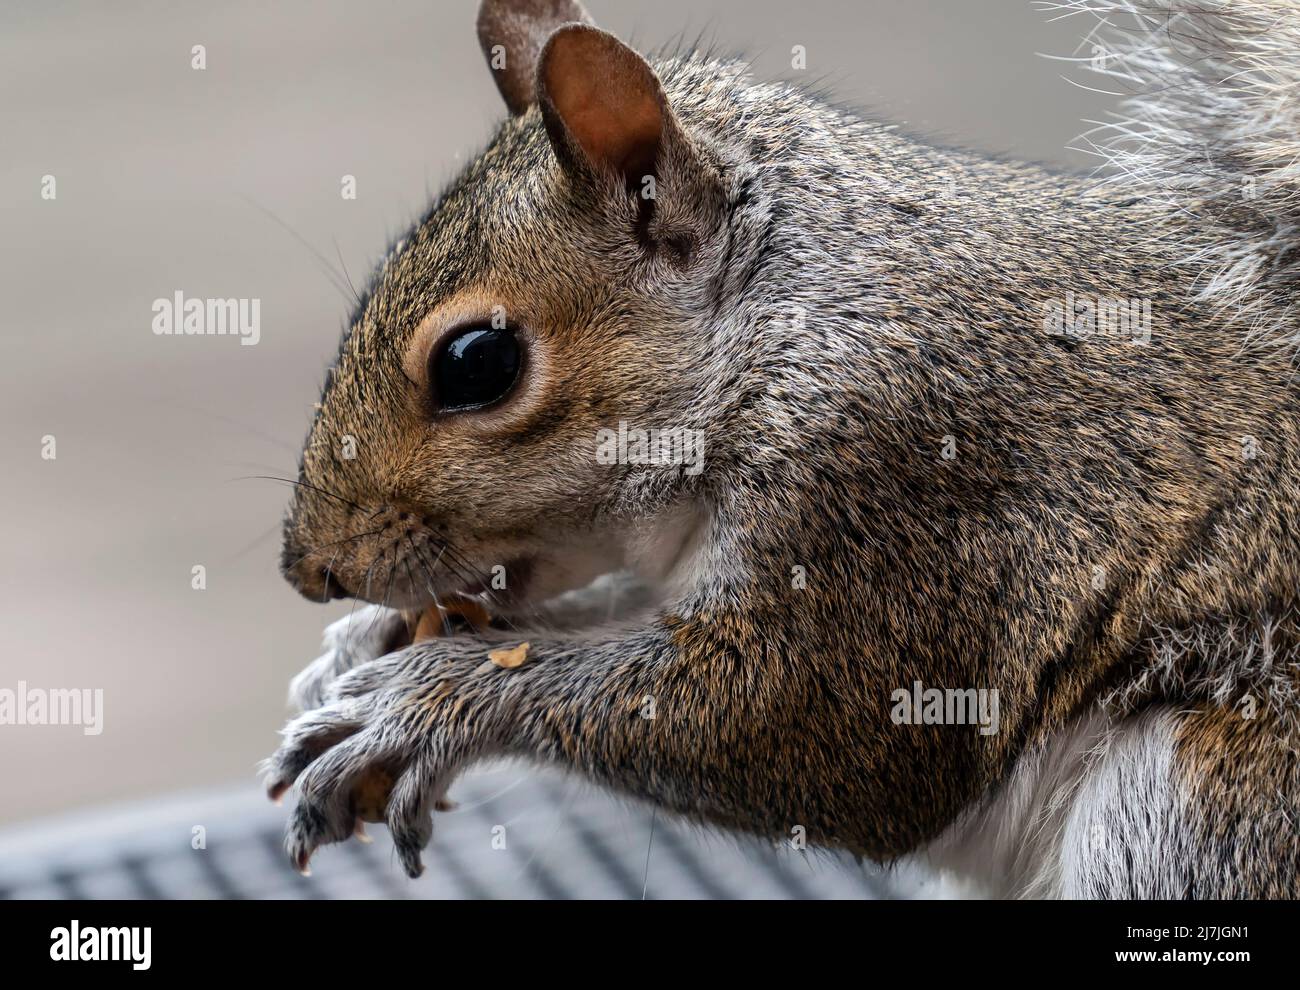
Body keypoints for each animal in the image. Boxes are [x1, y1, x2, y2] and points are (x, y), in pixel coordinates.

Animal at [265, 0, 1300, 897]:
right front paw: (365, 643)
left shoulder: (902, 473)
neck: (784, 317)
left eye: (477, 362)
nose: (312, 571)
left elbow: (792, 724)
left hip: (1196, 796)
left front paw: (419, 702)